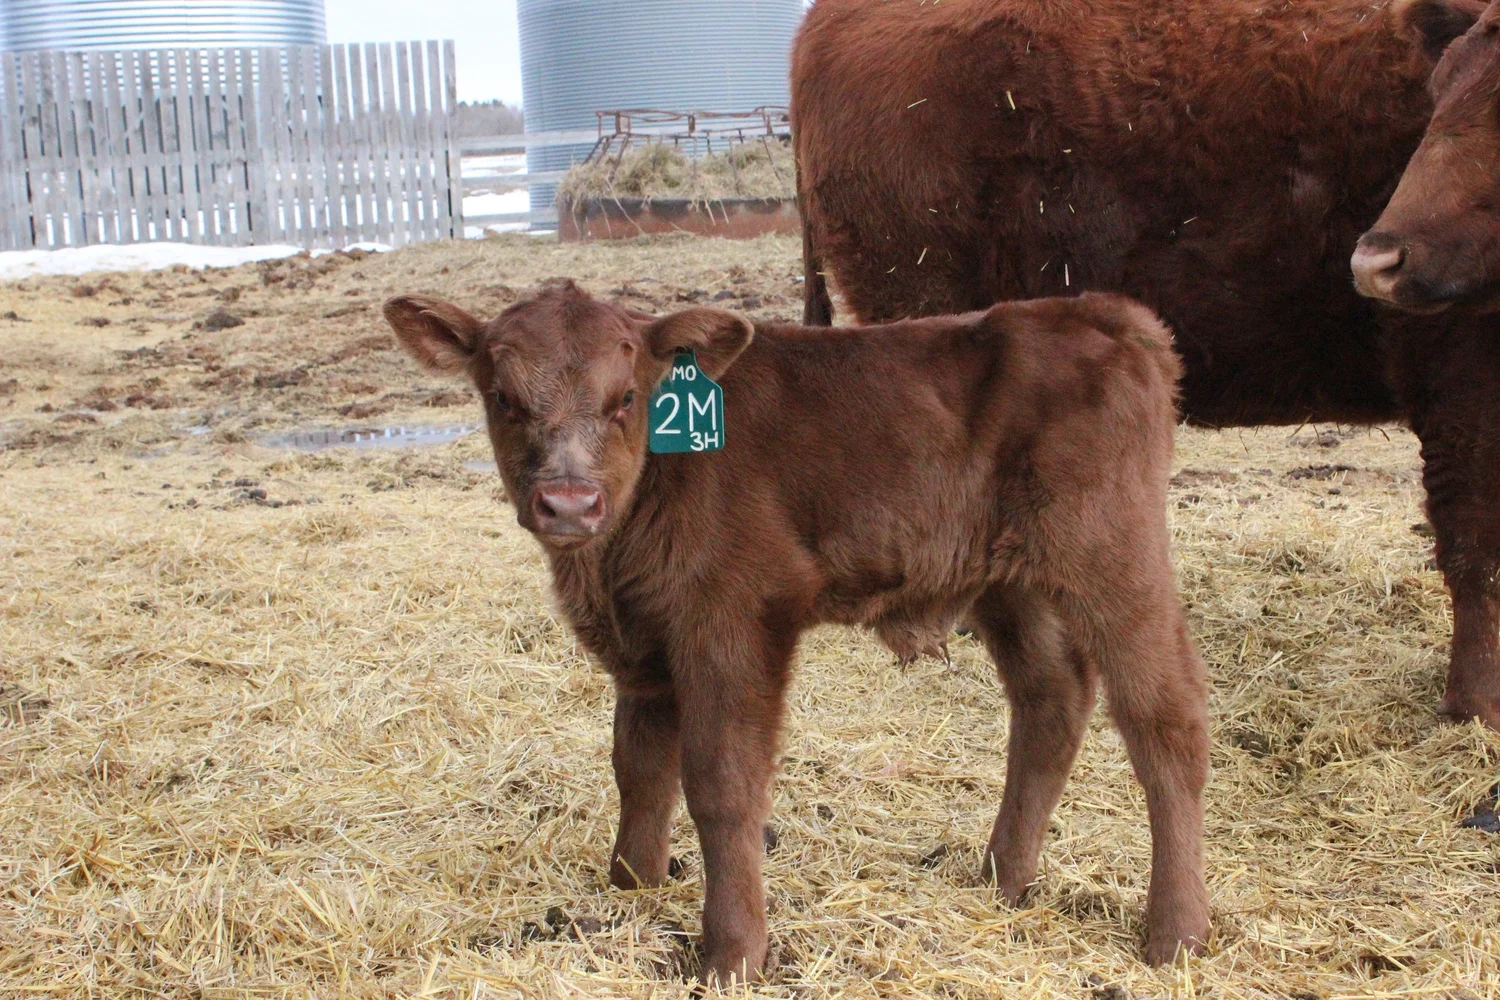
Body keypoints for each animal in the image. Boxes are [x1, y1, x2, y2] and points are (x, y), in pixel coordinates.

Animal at [384, 281, 1210, 981]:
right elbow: (638, 765)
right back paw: (1003, 879)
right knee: (1051, 704)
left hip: (1115, 557)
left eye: (627, 397)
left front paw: (732, 952)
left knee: (1166, 726)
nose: (568, 501)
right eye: (503, 397)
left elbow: (722, 784)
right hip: (1012, 583)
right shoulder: (645, 642)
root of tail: (1096, 311)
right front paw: (633, 884)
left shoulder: (736, 618)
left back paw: (1176, 932)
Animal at [792, 0, 1500, 729]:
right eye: (1442, 94)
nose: (1378, 258)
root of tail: (823, 21)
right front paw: (1473, 705)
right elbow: (1474, 538)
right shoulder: (1460, 378)